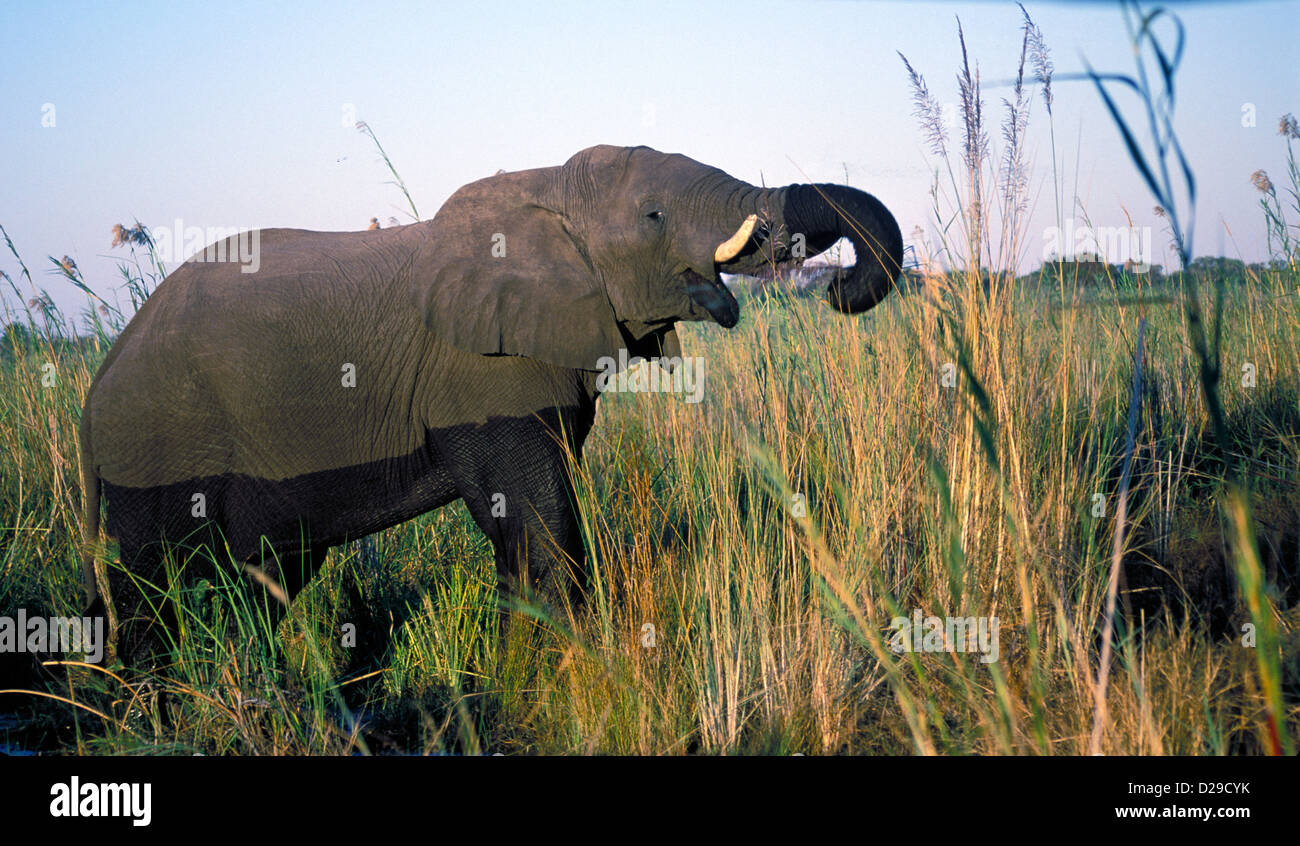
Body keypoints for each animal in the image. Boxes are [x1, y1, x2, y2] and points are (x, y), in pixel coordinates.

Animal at [77, 144, 903, 663]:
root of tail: (99, 380)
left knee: (258, 582)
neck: (548, 190)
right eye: (654, 216)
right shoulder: (483, 374)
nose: (837, 288)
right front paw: (576, 680)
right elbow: (539, 525)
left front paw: (521, 675)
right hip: (156, 447)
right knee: (152, 597)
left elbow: (521, 537)